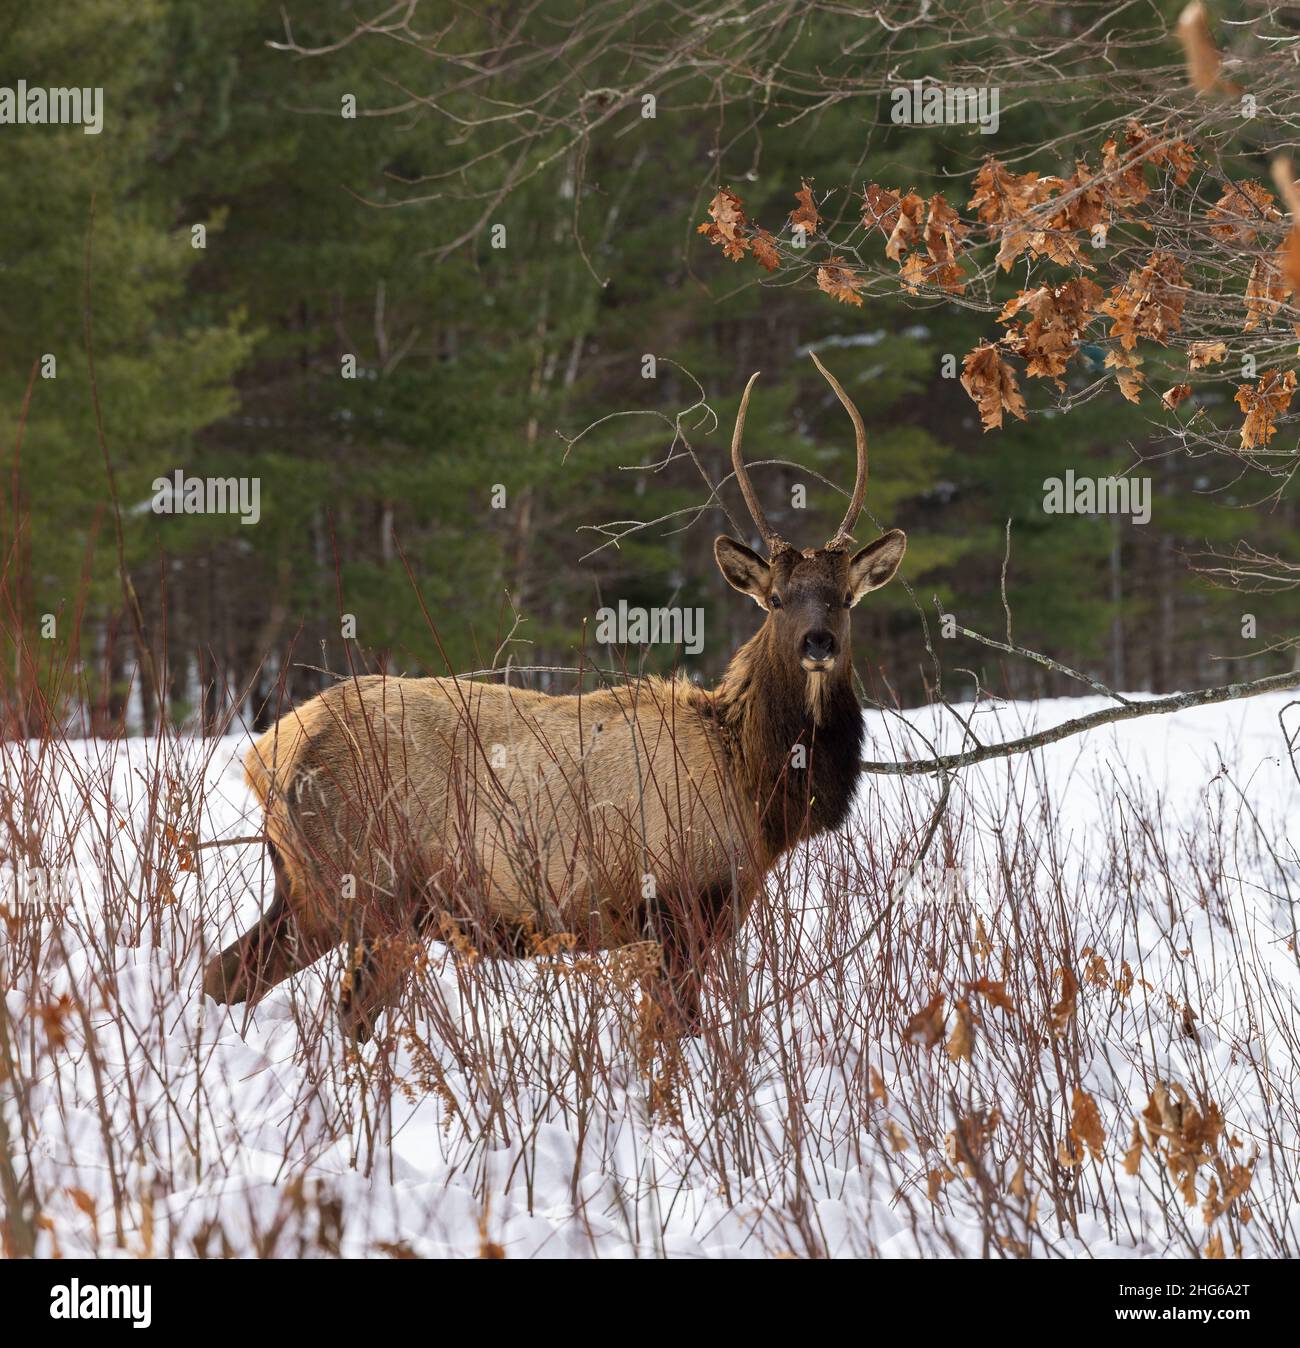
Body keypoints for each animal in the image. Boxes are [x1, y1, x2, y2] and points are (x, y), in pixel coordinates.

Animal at [202, 352, 907, 1042]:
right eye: (777, 599)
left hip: (313, 888)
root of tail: (264, 757)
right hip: (368, 886)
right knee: (332, 1003)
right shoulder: (679, 904)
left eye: (845, 598)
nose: (818, 642)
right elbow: (669, 1034)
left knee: (229, 973)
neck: (756, 788)